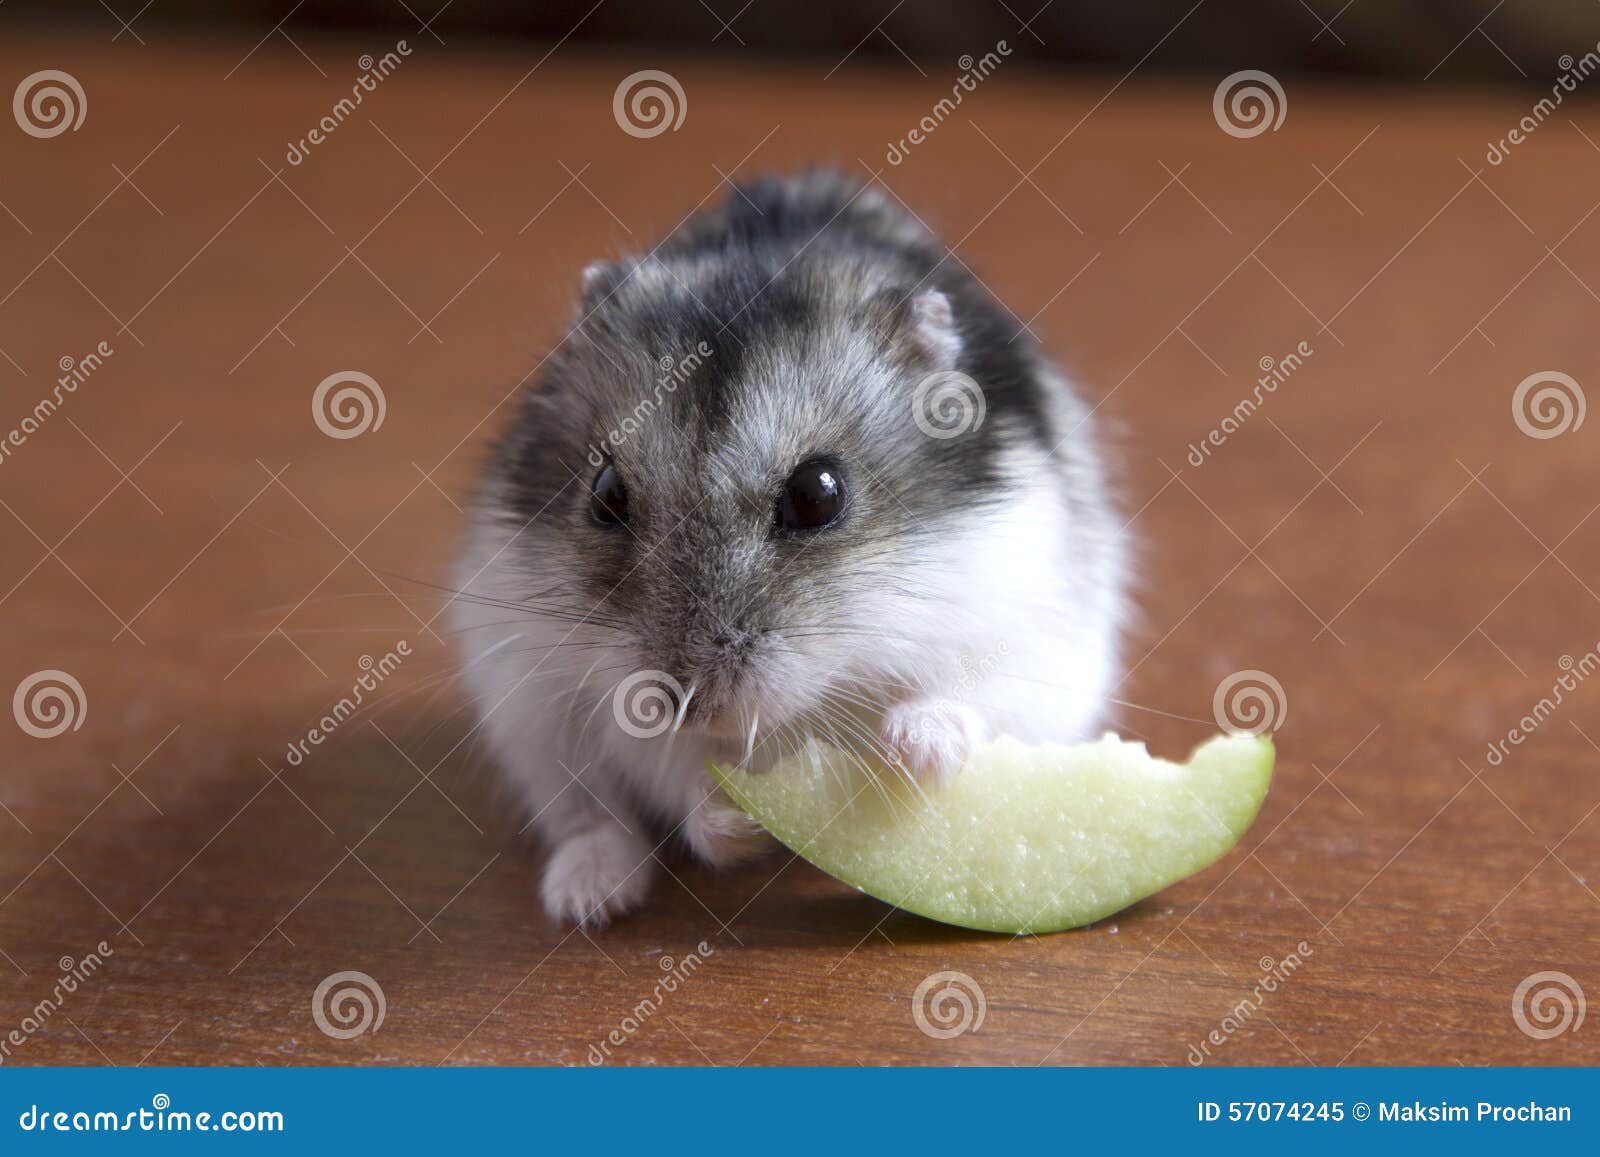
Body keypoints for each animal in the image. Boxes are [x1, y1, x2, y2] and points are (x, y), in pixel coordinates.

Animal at [452, 172, 1126, 926]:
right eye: (604, 492)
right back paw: (588, 898)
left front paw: (910, 752)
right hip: (530, 721)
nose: (692, 706)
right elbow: (667, 766)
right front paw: (736, 824)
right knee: (592, 817)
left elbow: (965, 696)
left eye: (818, 494)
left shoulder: (1032, 633)